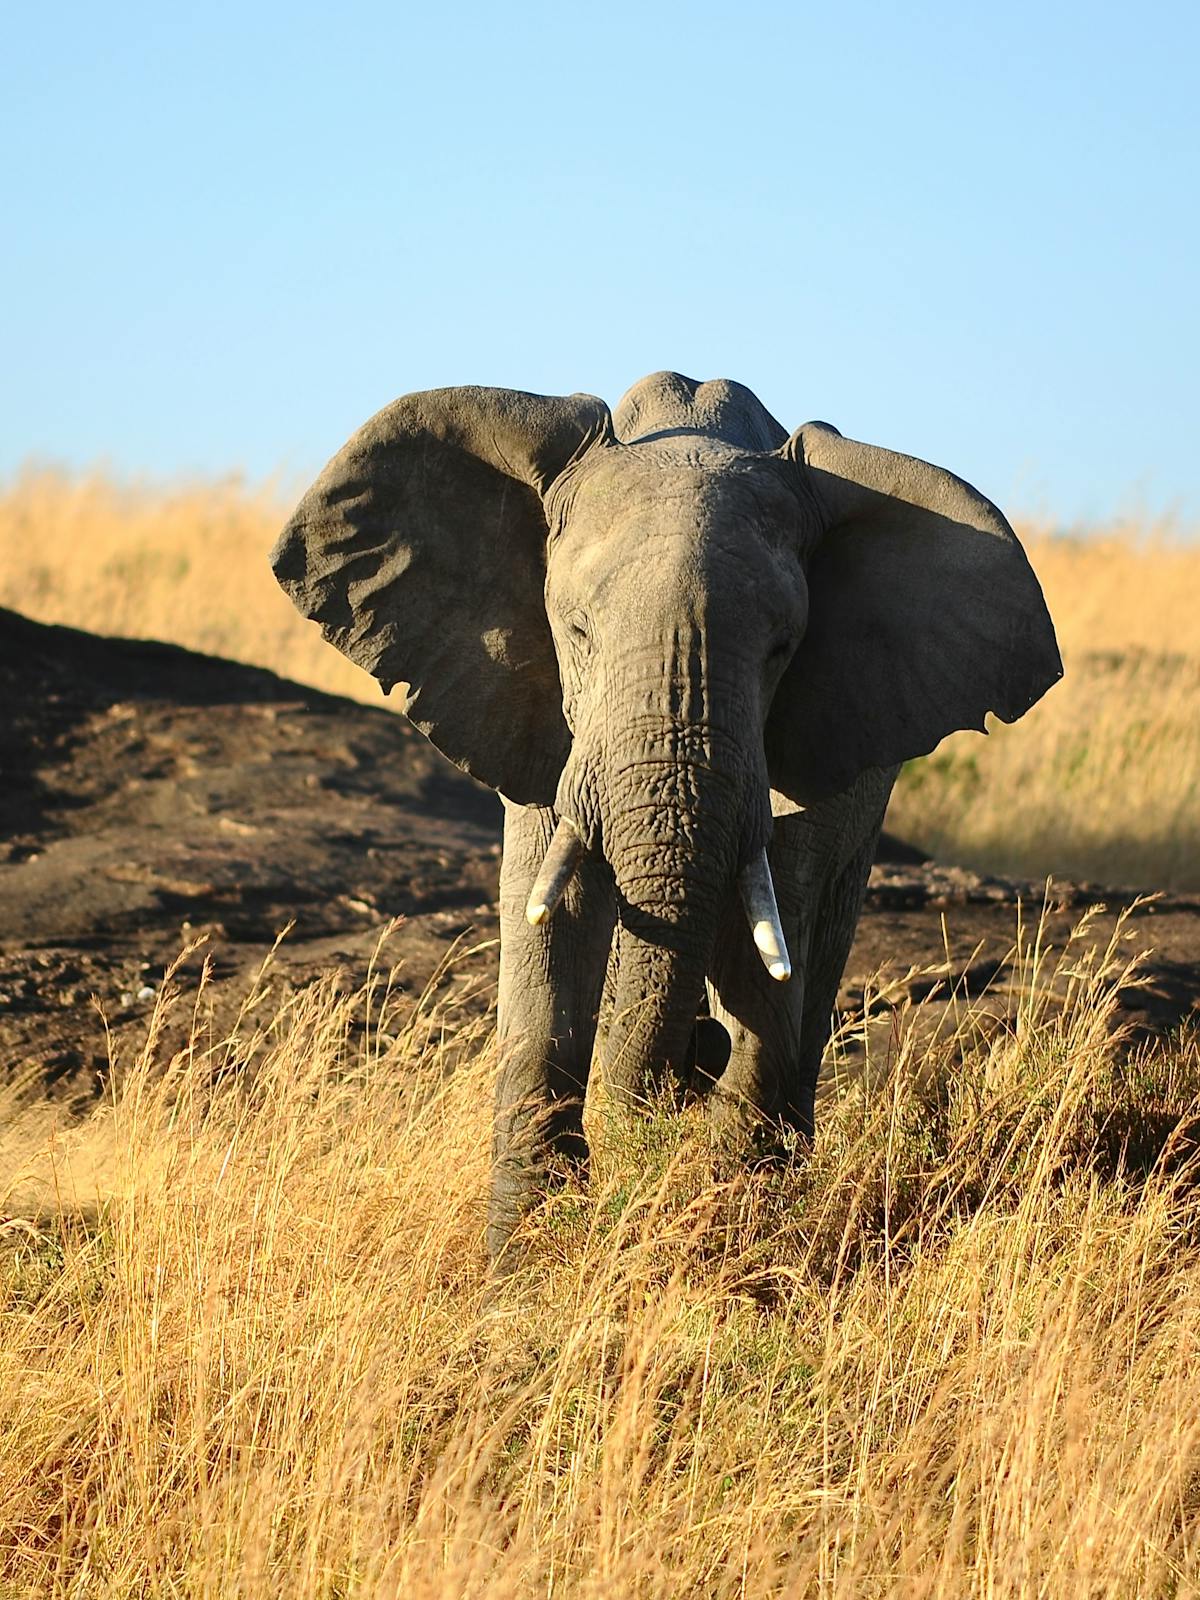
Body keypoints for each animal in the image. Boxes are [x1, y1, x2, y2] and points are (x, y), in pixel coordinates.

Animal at [269, 371, 1062, 1261]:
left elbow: (767, 938)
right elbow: (548, 925)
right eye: (577, 630)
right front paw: (521, 1267)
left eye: (783, 649)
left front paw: (743, 1242)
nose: (693, 1056)